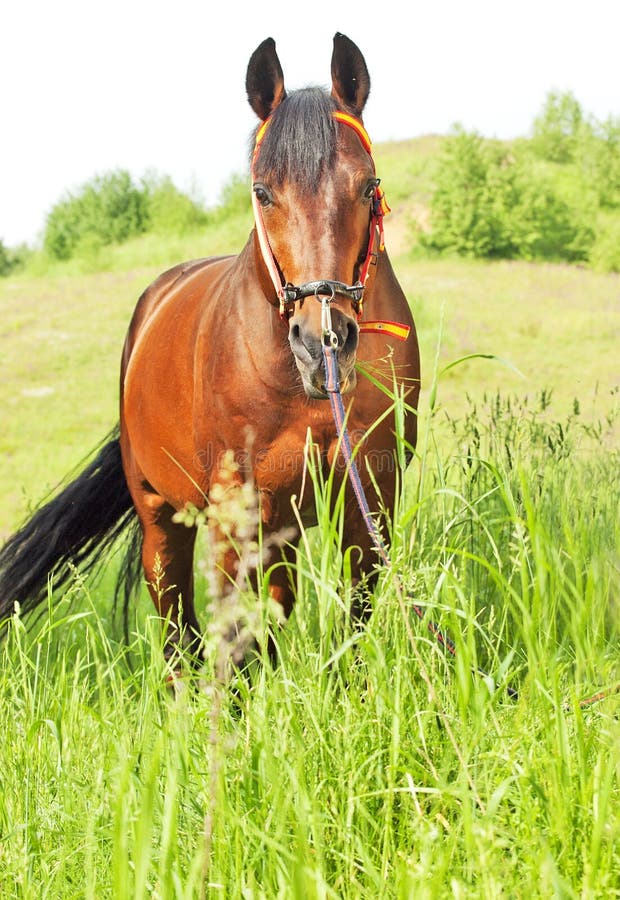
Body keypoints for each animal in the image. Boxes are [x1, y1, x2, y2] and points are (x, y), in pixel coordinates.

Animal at [0, 33, 420, 672]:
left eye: (367, 186)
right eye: (263, 192)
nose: (322, 339)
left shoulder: (369, 495)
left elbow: (352, 618)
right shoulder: (233, 509)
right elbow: (230, 634)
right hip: (162, 520)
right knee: (178, 624)